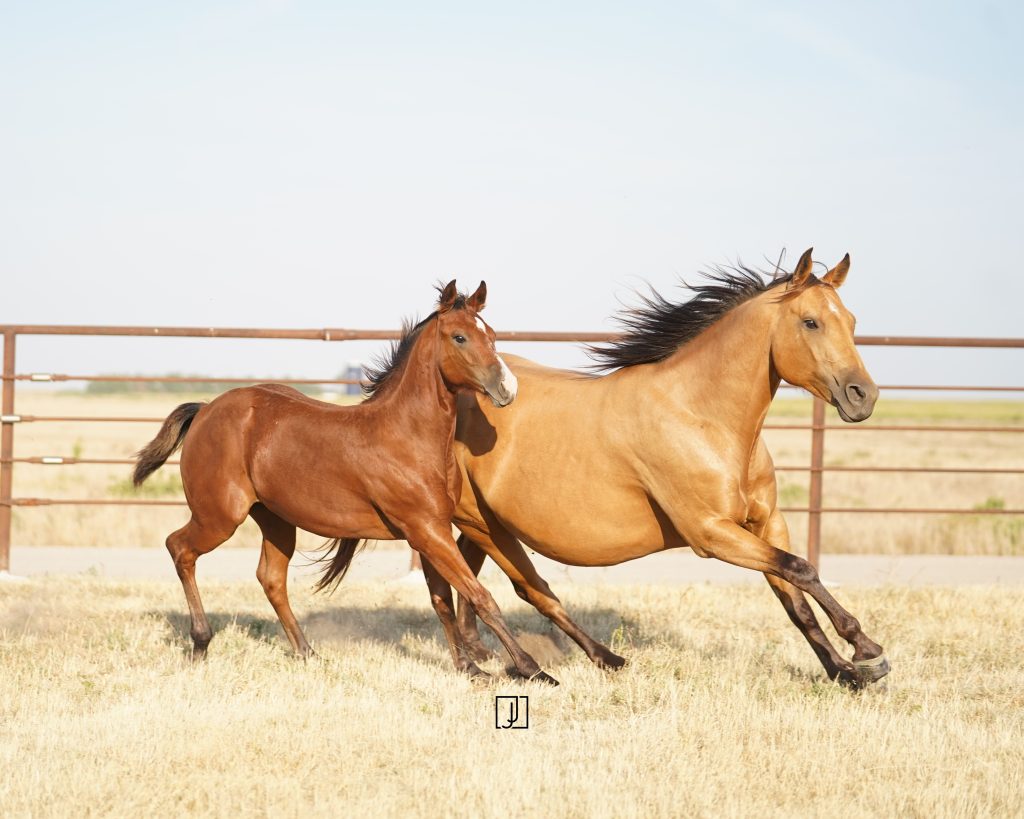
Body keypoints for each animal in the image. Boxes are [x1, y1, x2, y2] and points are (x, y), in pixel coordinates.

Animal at [133, 281, 559, 684]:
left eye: (492, 334)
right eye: (459, 337)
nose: (507, 389)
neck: (407, 436)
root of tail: (206, 410)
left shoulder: (431, 530)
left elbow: (442, 600)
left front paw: (470, 668)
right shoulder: (425, 530)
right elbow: (481, 597)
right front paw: (532, 670)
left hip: (275, 520)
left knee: (270, 578)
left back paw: (307, 652)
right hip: (219, 515)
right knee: (180, 548)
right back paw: (201, 643)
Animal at [428, 249, 890, 688]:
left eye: (851, 321)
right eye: (811, 322)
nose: (862, 396)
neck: (702, 418)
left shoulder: (766, 524)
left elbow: (795, 599)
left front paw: (844, 672)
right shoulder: (711, 533)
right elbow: (802, 569)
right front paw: (867, 652)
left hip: (485, 521)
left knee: (466, 575)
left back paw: (483, 653)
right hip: (478, 522)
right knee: (515, 586)